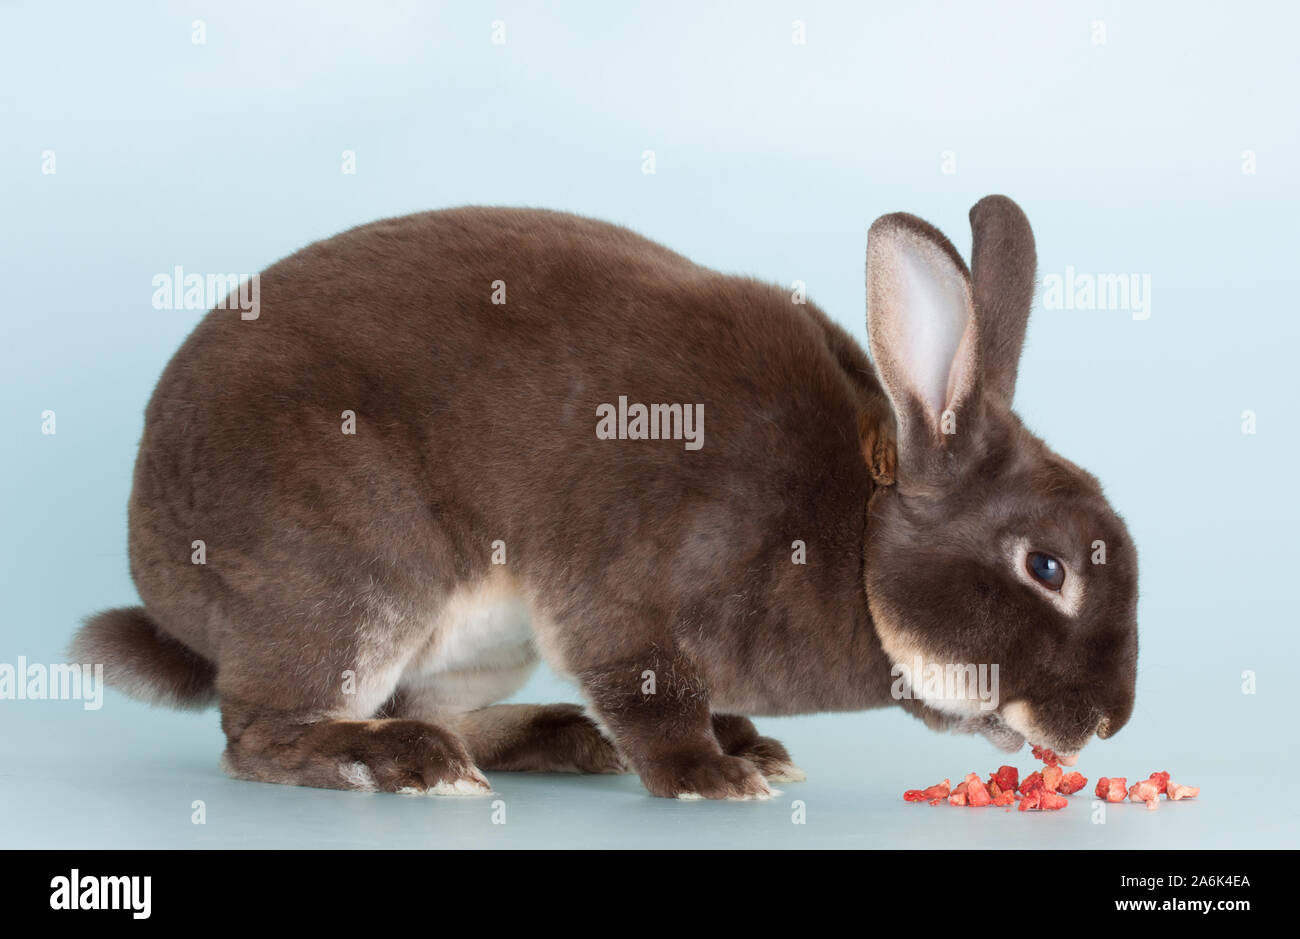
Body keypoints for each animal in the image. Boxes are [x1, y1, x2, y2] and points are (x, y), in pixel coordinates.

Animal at [73, 195, 1138, 800]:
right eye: (1045, 566)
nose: (1111, 721)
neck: (857, 537)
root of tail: (153, 559)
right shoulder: (630, 600)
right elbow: (650, 691)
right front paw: (712, 776)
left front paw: (742, 749)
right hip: (352, 580)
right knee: (258, 728)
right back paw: (403, 764)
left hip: (473, 643)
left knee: (431, 704)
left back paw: (558, 739)